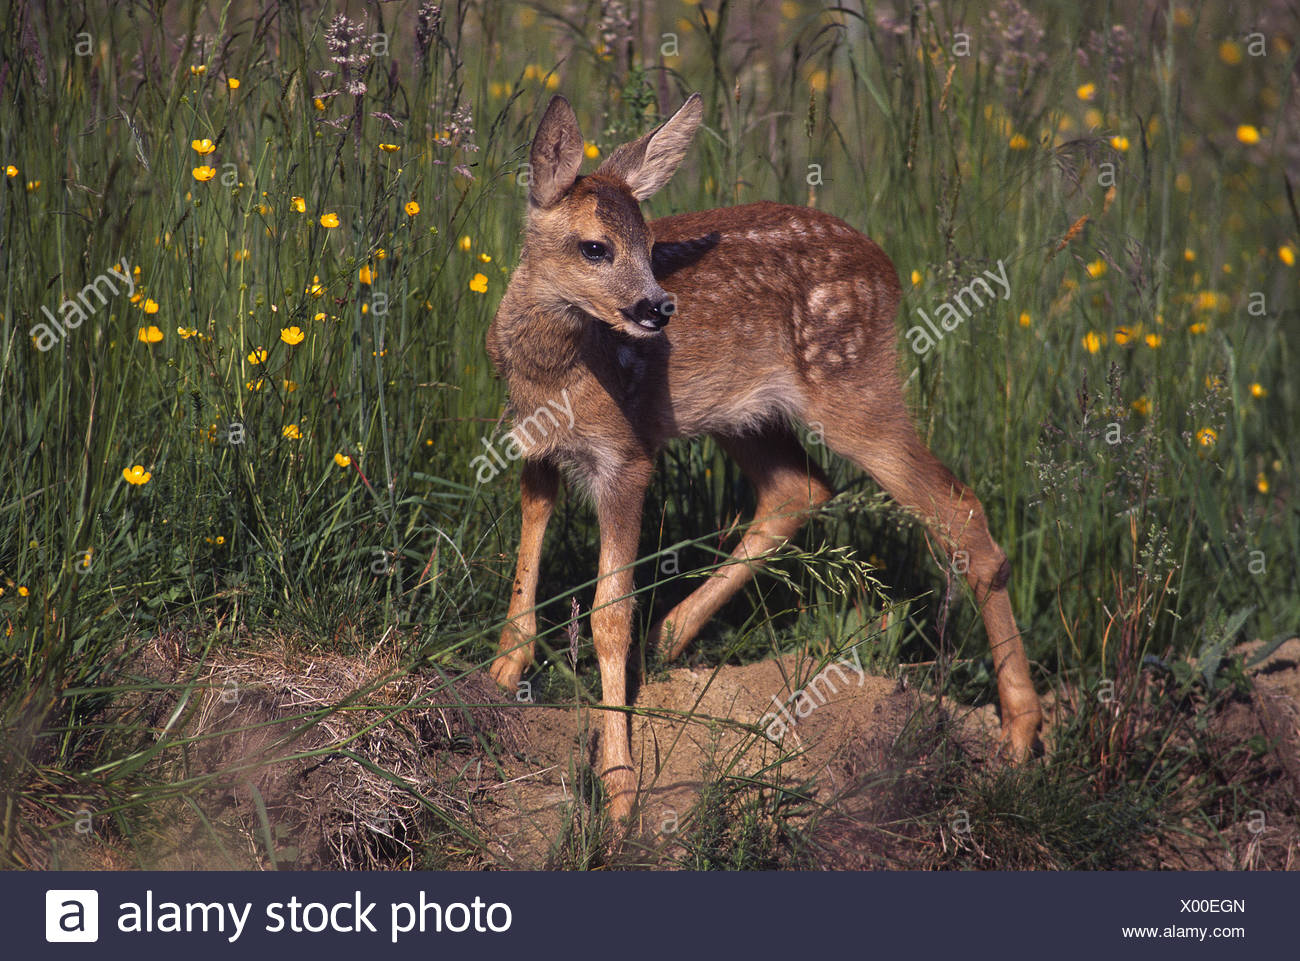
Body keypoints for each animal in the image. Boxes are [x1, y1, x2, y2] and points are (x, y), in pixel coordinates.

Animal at [485, 93, 1042, 825]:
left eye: (649, 242)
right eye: (595, 246)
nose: (657, 308)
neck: (557, 370)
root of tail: (889, 270)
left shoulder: (628, 455)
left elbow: (608, 614)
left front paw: (621, 786)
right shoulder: (535, 448)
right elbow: (526, 560)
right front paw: (501, 672)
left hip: (853, 388)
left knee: (957, 508)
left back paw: (1021, 730)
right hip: (742, 412)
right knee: (800, 488)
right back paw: (672, 635)